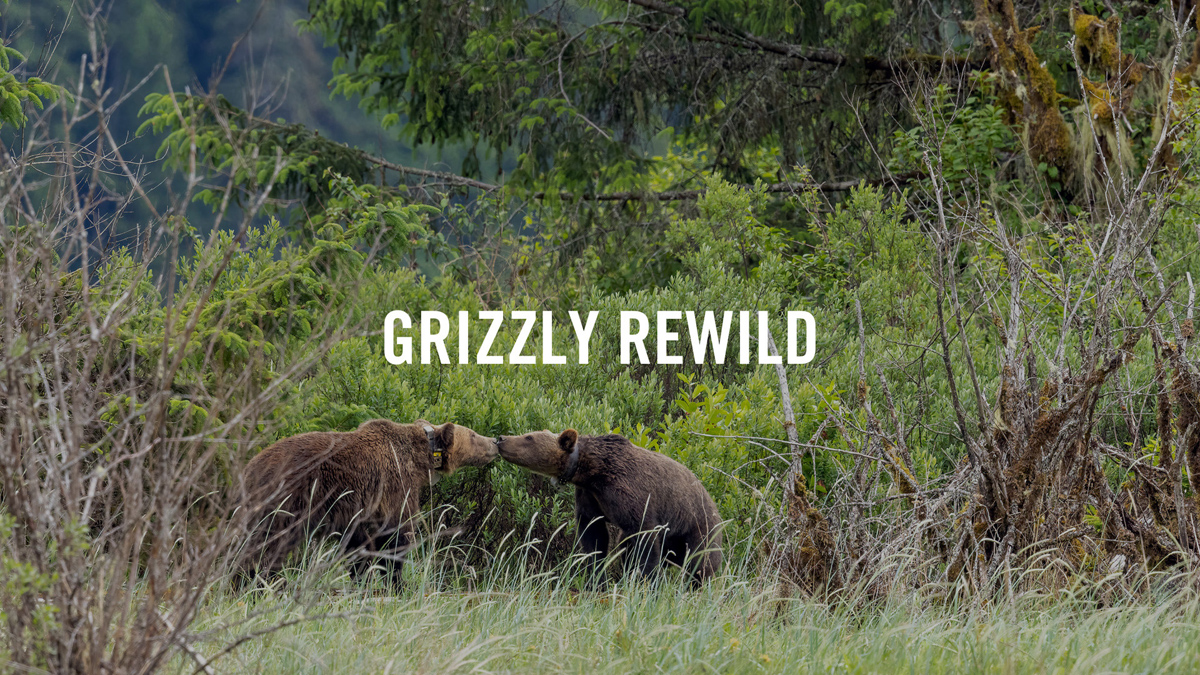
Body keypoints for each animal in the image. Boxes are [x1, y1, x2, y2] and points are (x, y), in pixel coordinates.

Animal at [236, 418, 498, 588]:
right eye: (473, 435)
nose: (495, 441)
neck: (419, 458)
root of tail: (250, 467)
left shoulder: (356, 511)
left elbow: (358, 546)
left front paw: (362, 579)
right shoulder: (394, 485)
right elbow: (396, 537)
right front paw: (397, 583)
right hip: (289, 500)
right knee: (268, 545)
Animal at [496, 429, 722, 587]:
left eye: (529, 437)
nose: (501, 438)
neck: (592, 473)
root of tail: (713, 502)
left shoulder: (631, 494)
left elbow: (644, 539)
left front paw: (647, 581)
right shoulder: (591, 498)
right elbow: (593, 536)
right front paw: (596, 579)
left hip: (697, 525)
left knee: (701, 563)